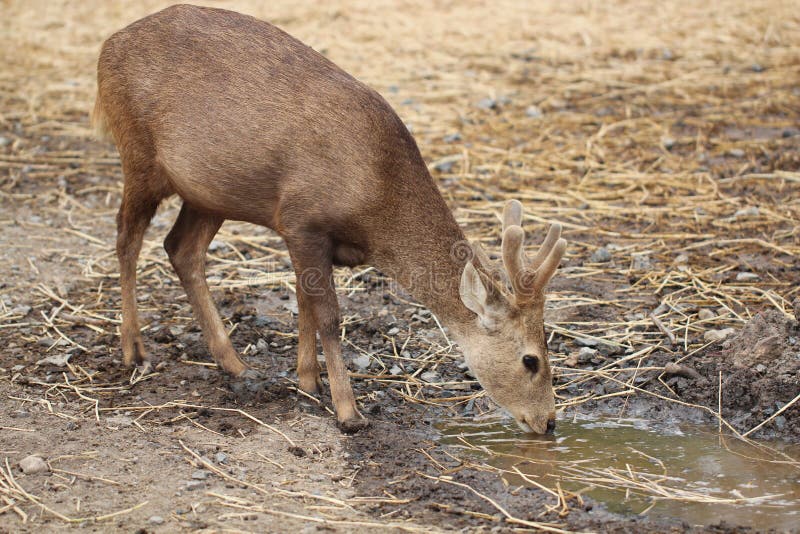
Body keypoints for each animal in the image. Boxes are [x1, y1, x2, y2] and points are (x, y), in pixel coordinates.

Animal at [93, 4, 566, 434]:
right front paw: (348, 411)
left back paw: (234, 363)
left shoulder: (306, 235)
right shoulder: (303, 219)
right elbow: (329, 317)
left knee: (181, 248)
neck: (376, 205)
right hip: (138, 152)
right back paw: (134, 349)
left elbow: (304, 302)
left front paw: (308, 381)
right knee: (126, 237)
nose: (548, 422)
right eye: (531, 359)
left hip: (208, 192)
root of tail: (108, 44)